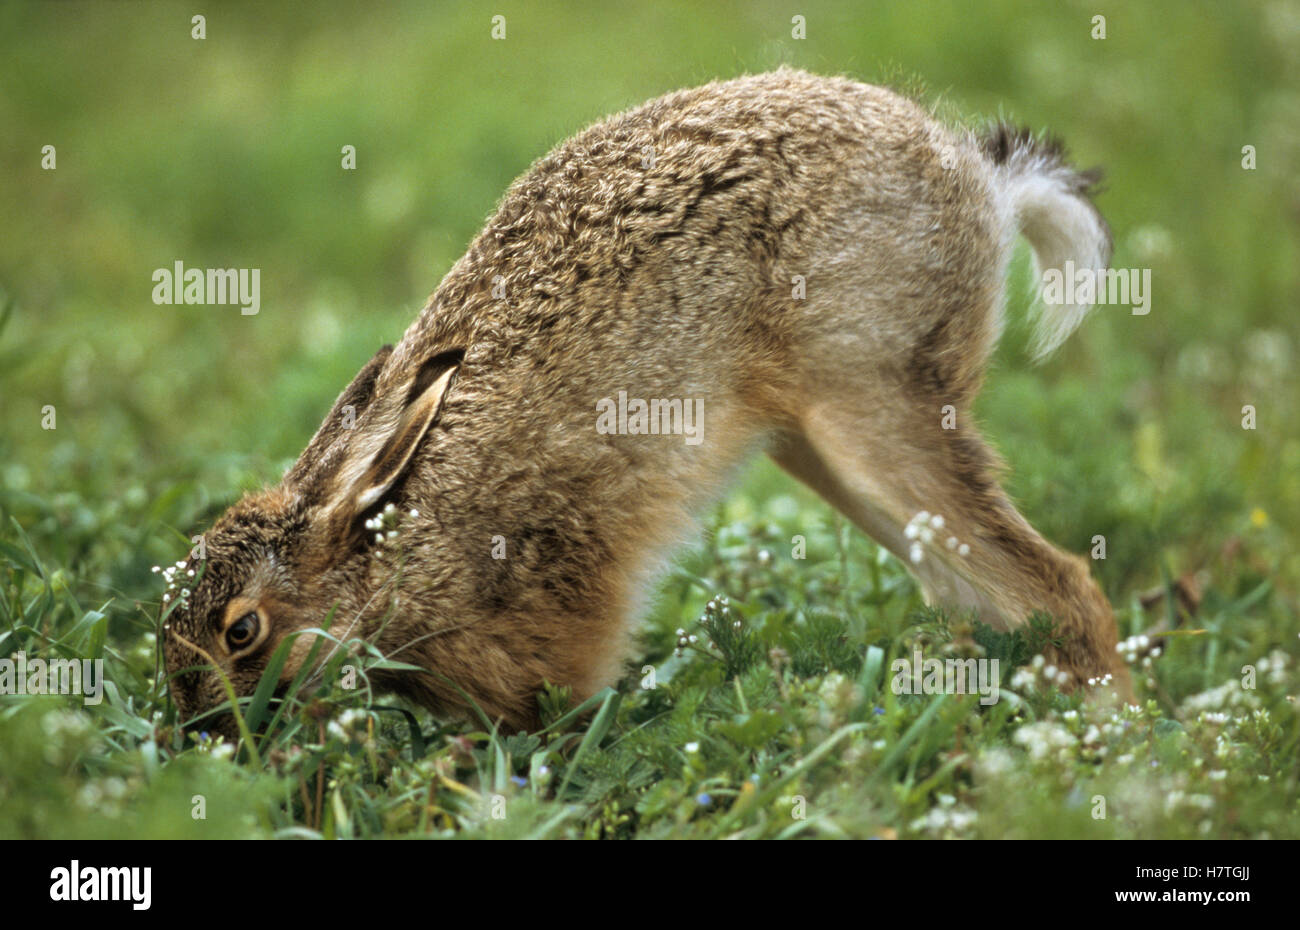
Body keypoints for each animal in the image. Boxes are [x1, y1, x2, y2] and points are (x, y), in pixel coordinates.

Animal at [163, 68, 1132, 736]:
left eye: (242, 630)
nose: (200, 729)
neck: (378, 553)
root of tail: (980, 184)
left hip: (872, 397)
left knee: (1061, 587)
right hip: (823, 442)